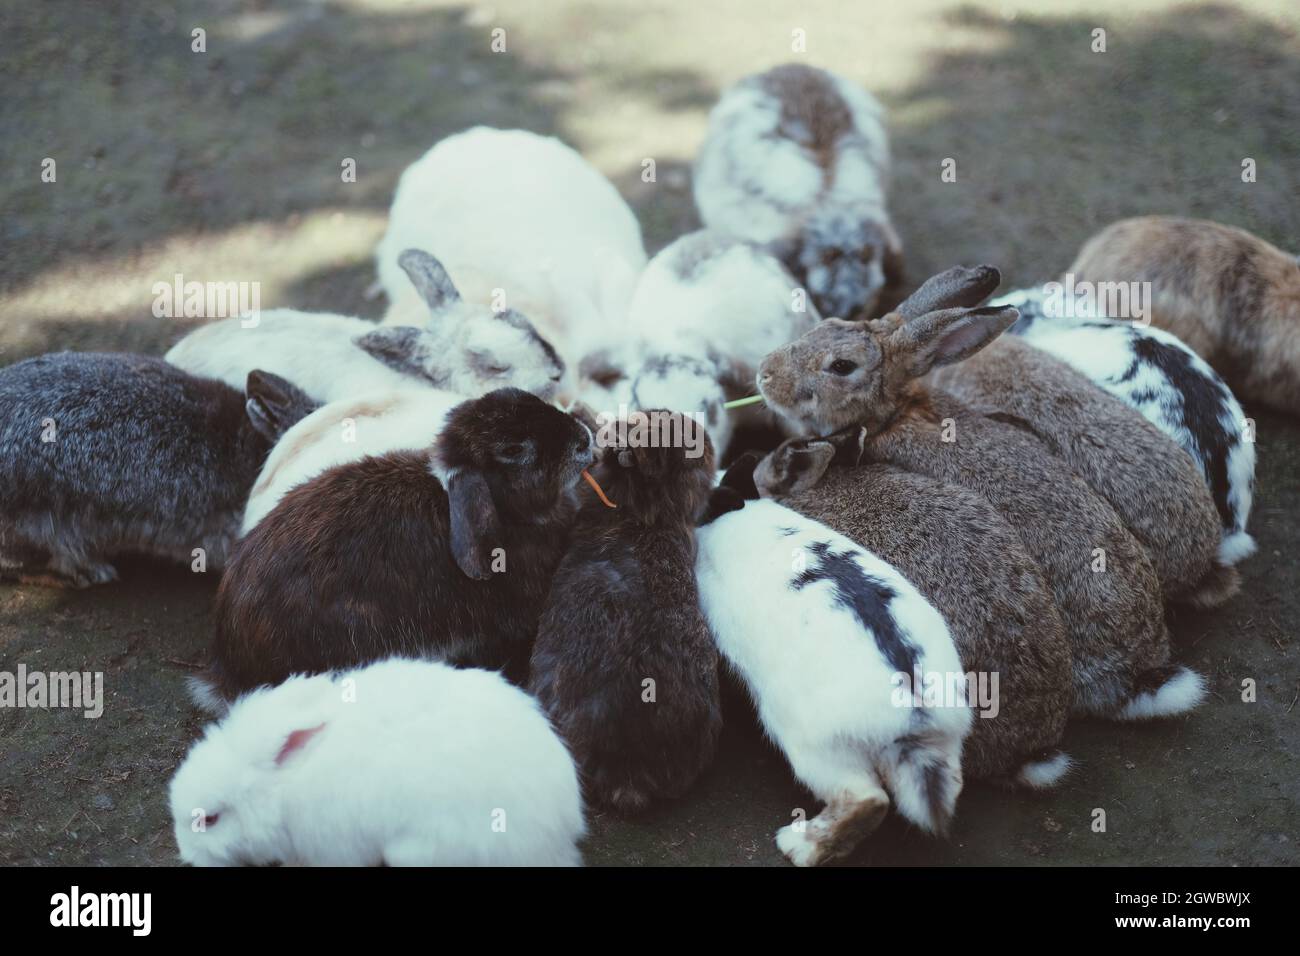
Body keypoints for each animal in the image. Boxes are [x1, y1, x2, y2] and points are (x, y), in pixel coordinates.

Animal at [696, 455, 972, 866]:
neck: (732, 516)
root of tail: (917, 716)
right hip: (945, 747)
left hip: (818, 750)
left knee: (866, 800)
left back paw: (799, 845)